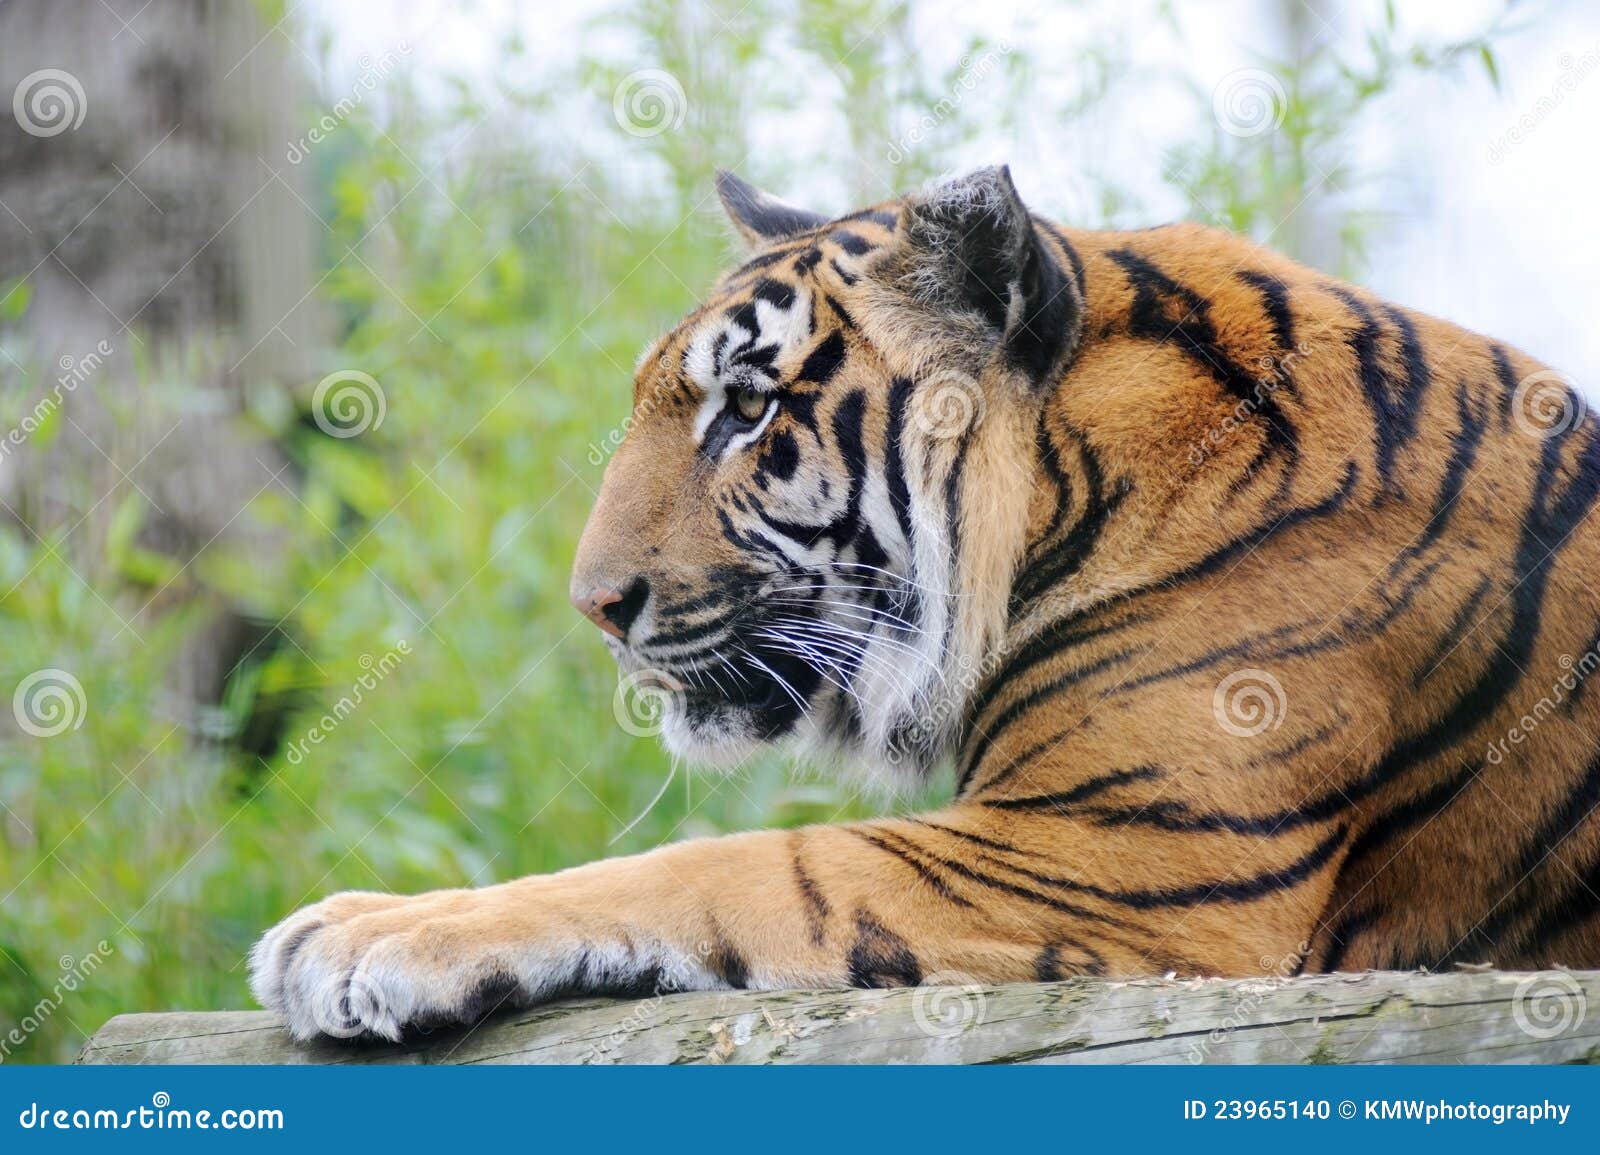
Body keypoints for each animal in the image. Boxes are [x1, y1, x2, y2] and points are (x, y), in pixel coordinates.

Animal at [251, 165, 1600, 1042]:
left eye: (748, 407)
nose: (594, 605)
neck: (1080, 488)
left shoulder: (1120, 859)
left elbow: (720, 866)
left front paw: (358, 938)